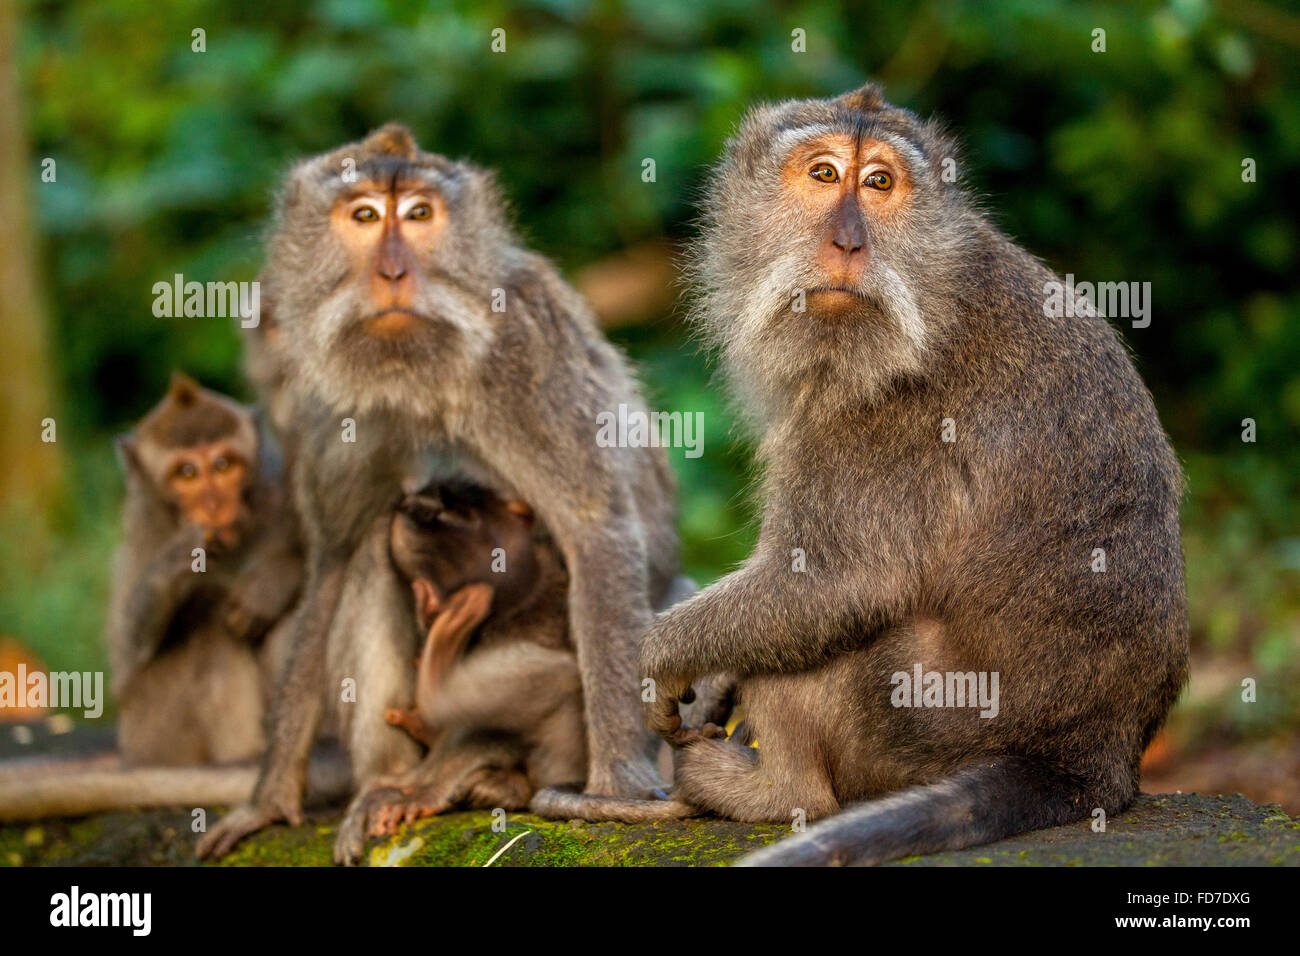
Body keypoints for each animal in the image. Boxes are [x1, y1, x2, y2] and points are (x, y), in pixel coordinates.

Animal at [195, 124, 699, 864]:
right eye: (364, 215)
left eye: (420, 214)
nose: (394, 274)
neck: (414, 372)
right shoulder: (321, 399)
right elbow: (333, 562)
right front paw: (268, 799)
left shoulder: (525, 353)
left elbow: (594, 528)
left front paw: (618, 787)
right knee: (373, 551)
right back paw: (393, 785)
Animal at [632, 82, 1189, 866]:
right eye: (825, 175)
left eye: (879, 183)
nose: (848, 243)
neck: (929, 289)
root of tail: (1094, 753)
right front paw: (714, 683)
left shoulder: (884, 422)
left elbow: (836, 582)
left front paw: (667, 652)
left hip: (926, 721)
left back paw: (779, 792)